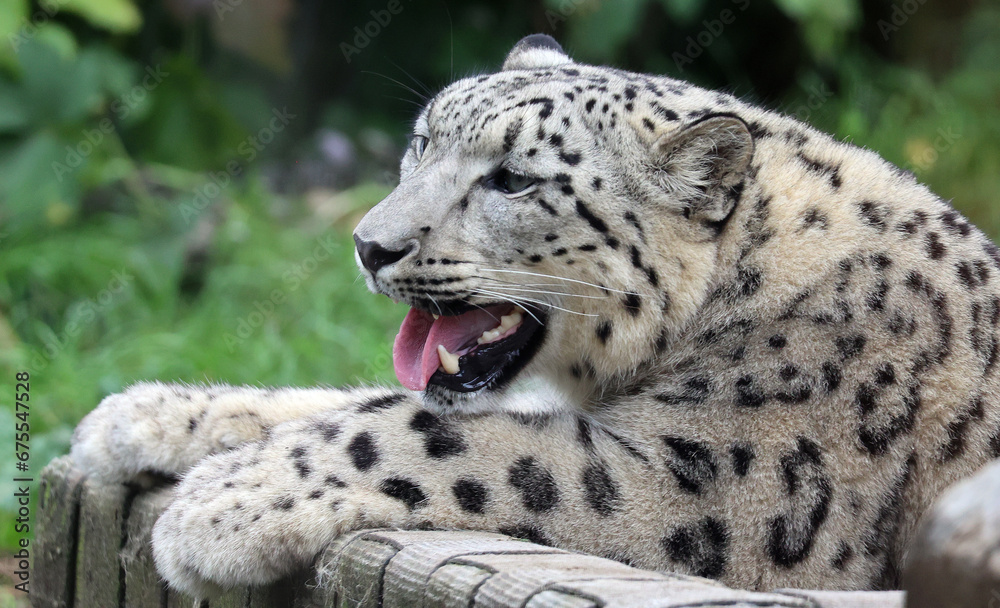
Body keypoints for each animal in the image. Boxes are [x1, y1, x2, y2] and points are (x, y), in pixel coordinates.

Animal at [69, 34, 1000, 597]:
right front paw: (141, 415)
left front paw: (221, 503)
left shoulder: (711, 480)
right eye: (421, 141)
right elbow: (355, 399)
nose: (370, 244)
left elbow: (438, 435)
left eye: (513, 180)